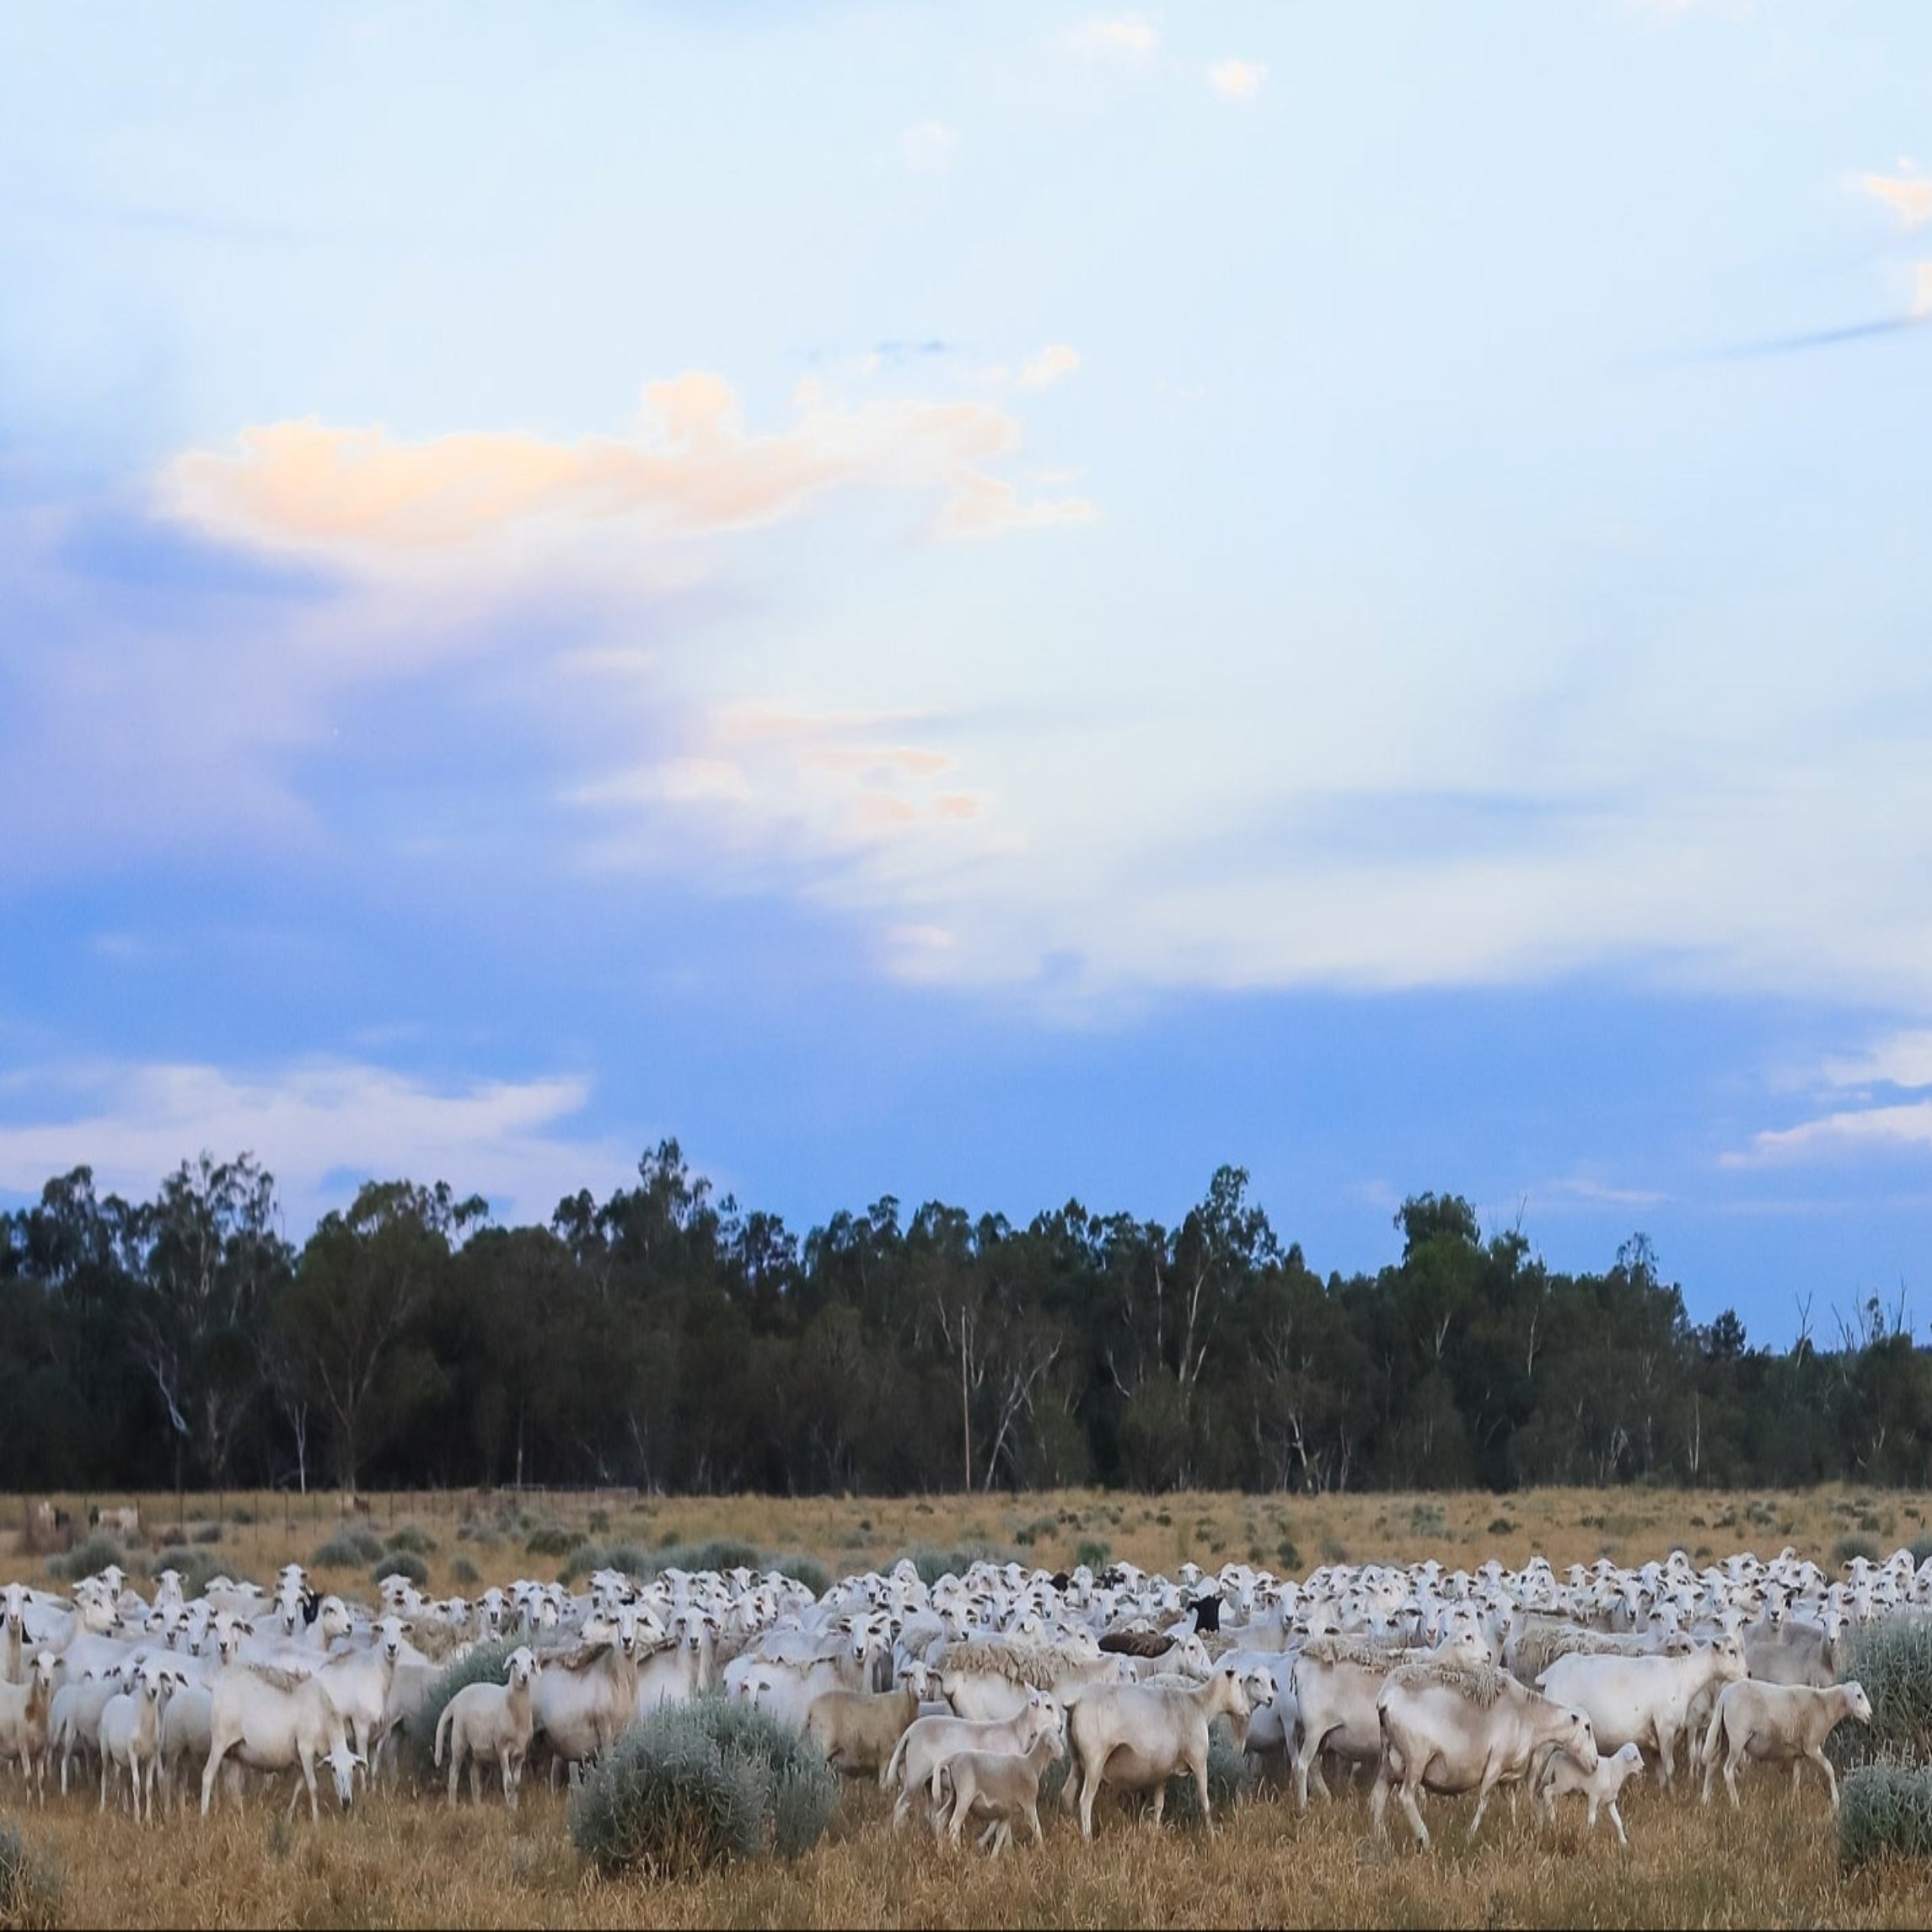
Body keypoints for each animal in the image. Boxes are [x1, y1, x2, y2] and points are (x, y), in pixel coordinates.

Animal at [434, 1646, 539, 1810]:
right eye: (514, 1661)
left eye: (531, 1662)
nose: (524, 1676)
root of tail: (456, 1698)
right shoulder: (502, 1748)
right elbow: (508, 1782)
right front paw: (509, 1809)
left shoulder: (521, 1753)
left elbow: (516, 1784)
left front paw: (515, 1808)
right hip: (459, 1740)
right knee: (453, 1772)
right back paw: (453, 1805)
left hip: (477, 1750)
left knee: (473, 1774)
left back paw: (478, 1806)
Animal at [931, 1726, 1065, 1855]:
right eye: (1058, 1739)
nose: (1063, 1754)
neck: (1032, 1764)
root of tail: (953, 1758)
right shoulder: (1029, 1803)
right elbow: (1037, 1828)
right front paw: (1043, 1852)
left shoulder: (1008, 1811)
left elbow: (1002, 1834)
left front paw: (1001, 1855)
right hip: (965, 1794)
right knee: (954, 1824)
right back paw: (957, 1853)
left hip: (953, 1795)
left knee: (941, 1819)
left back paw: (941, 1852)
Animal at [1699, 1678, 1873, 1810]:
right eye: (1859, 1696)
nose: (1870, 1715)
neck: (1825, 1705)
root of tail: (1724, 1697)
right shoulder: (1811, 1747)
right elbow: (1829, 1769)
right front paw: (1836, 1802)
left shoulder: (1799, 1752)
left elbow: (1796, 1777)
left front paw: (1794, 1801)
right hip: (1737, 1738)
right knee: (1727, 1770)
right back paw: (1736, 1805)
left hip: (1724, 1737)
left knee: (1712, 1764)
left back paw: (1706, 1801)